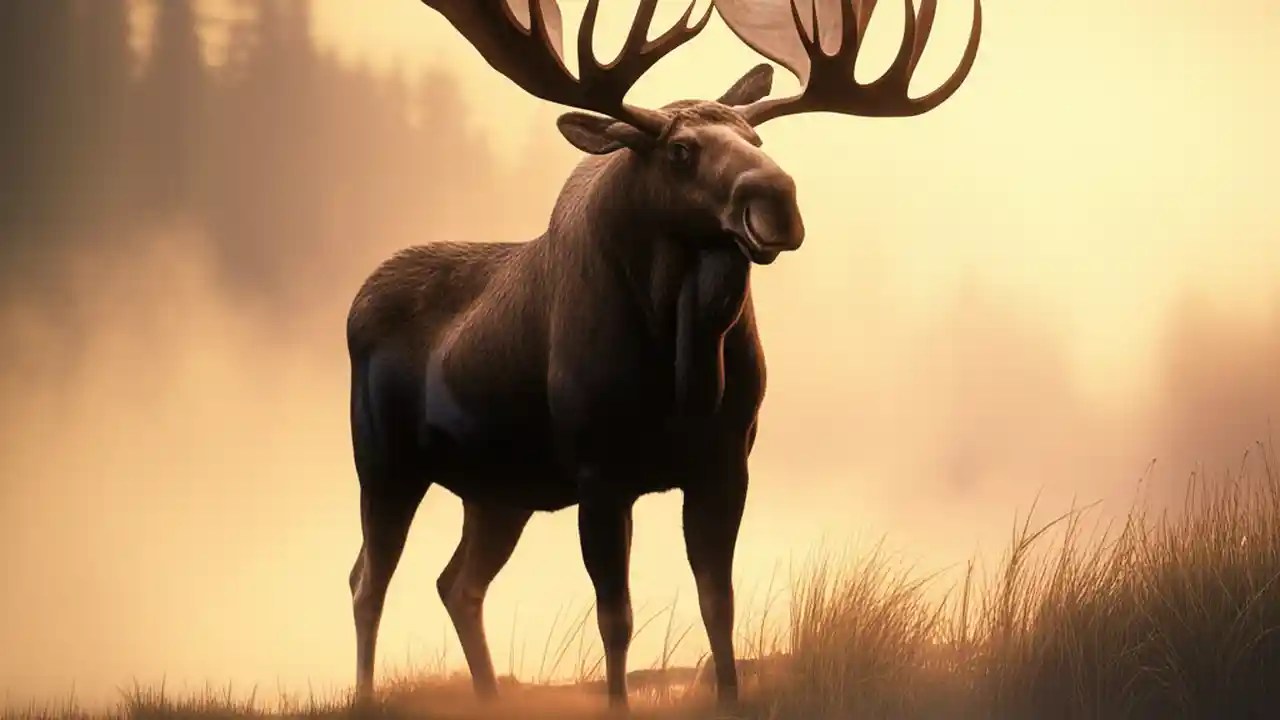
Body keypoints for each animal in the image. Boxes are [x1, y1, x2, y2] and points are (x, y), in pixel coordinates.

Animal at [345, 0, 981, 711]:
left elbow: (717, 603)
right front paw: (619, 704)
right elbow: (615, 615)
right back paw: (366, 696)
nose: (779, 199)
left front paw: (730, 700)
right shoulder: (599, 472)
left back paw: (489, 699)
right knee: (369, 578)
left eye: (756, 140)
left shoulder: (725, 460)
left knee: (457, 583)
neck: (685, 374)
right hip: (384, 460)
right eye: (681, 149)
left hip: (499, 489)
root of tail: (356, 302)